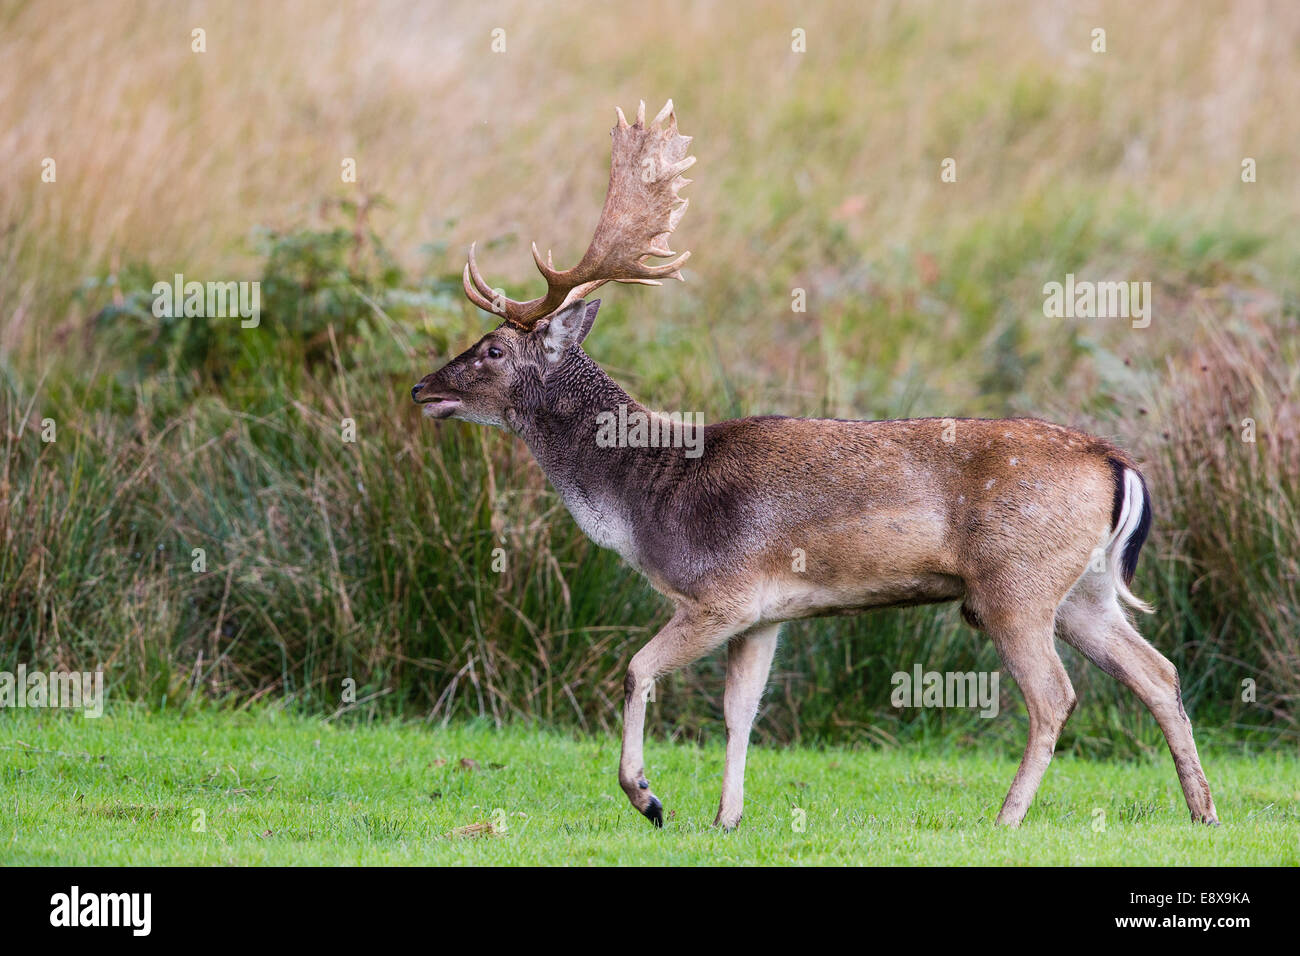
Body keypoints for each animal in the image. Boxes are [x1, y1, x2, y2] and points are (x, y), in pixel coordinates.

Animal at [412, 100, 1219, 831]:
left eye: (492, 349)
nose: (423, 388)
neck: (645, 493)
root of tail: (1117, 462)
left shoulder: (721, 591)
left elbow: (639, 668)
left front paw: (649, 798)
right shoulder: (766, 613)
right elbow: (741, 711)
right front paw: (727, 818)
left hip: (1014, 581)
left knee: (1055, 695)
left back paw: (1008, 818)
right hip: (1084, 588)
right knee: (1159, 671)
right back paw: (1203, 812)